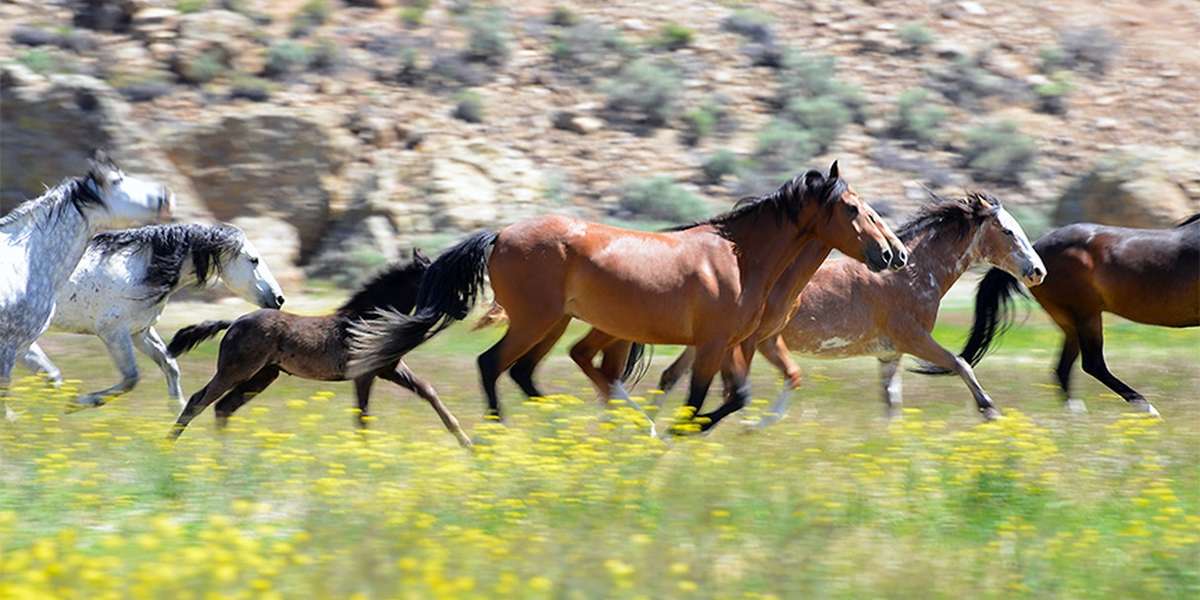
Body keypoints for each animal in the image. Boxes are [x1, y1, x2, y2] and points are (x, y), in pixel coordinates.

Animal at [18, 223, 285, 412]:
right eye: (254, 260)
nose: (279, 299)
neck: (137, 271)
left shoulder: (140, 332)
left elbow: (170, 367)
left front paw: (177, 414)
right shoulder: (113, 333)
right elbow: (131, 378)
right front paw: (79, 402)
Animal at [166, 252, 472, 447]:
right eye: (439, 280)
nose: (464, 309)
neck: (367, 318)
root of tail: (234, 323)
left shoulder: (389, 368)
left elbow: (428, 391)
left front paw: (466, 442)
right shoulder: (365, 374)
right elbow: (362, 415)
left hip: (263, 376)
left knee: (223, 408)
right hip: (236, 371)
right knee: (199, 401)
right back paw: (169, 446)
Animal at [347, 162, 909, 434]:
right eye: (854, 209)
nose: (893, 253)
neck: (739, 259)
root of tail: (500, 234)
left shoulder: (732, 343)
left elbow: (737, 396)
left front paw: (681, 430)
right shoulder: (714, 344)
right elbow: (701, 398)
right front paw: (678, 433)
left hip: (553, 324)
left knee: (527, 372)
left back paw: (568, 428)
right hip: (536, 320)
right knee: (493, 365)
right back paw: (501, 433)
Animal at [651, 192, 1045, 423]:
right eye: (1008, 232)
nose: (1037, 271)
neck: (912, 273)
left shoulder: (889, 355)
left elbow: (891, 405)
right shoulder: (913, 339)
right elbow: (961, 362)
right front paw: (990, 411)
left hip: (709, 341)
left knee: (671, 377)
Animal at [923, 213, 1199, 416]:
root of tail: (1035, 255)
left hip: (1070, 321)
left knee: (1064, 369)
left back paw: (1074, 417)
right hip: (1086, 314)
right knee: (1092, 364)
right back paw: (1146, 409)